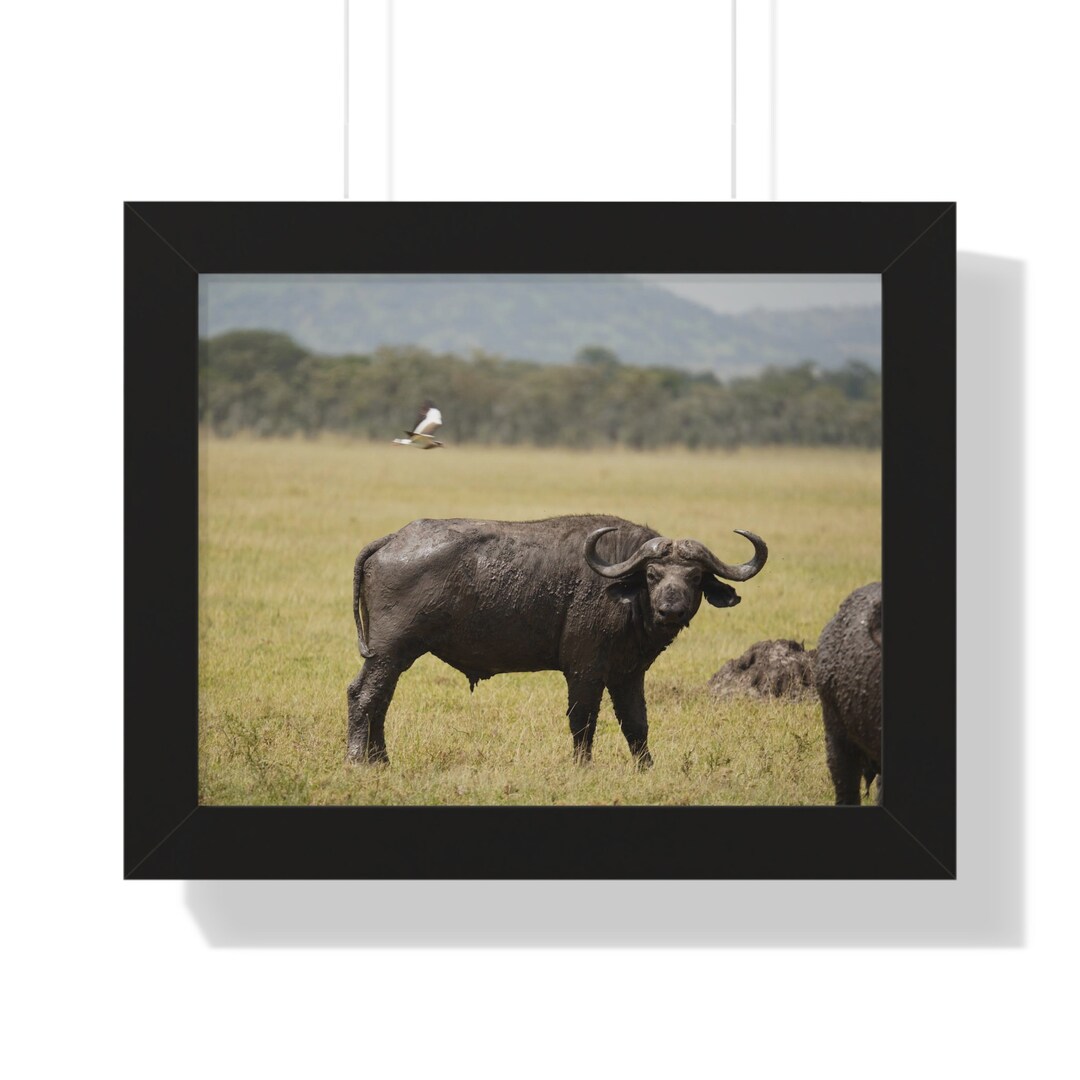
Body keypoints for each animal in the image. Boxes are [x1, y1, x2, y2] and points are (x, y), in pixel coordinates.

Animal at [347, 514, 768, 767]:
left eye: (694, 577)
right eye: (652, 575)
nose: (671, 610)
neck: (623, 591)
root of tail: (393, 539)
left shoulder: (629, 673)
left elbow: (636, 723)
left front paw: (645, 768)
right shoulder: (584, 670)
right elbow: (583, 720)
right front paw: (583, 767)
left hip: (392, 656)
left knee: (379, 700)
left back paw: (380, 760)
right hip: (389, 652)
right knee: (365, 696)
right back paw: (358, 760)